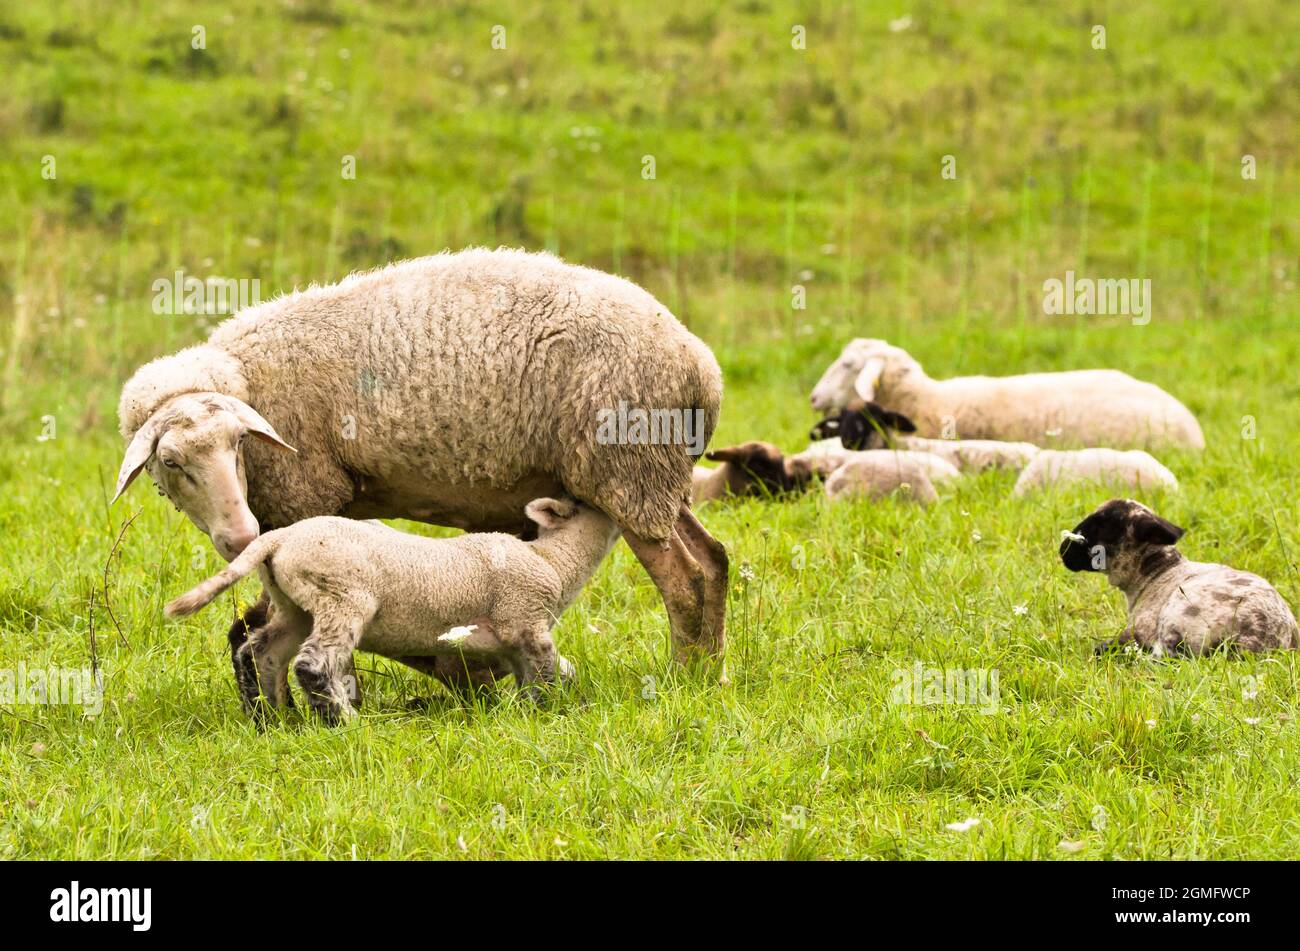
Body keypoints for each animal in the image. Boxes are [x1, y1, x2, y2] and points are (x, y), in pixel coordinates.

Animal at [114, 248, 730, 688]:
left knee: (686, 579)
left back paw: (682, 678)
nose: (239, 533)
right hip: (660, 478)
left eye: (239, 443)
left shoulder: (306, 497)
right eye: (170, 462)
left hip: (628, 471)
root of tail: (703, 368)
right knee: (715, 560)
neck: (245, 376)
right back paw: (712, 671)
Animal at [166, 498, 621, 723]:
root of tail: (279, 539)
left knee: (260, 652)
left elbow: (550, 673)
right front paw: (556, 715)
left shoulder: (513, 642)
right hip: (342, 596)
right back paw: (346, 722)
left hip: (293, 605)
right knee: (312, 664)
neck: (555, 560)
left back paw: (269, 718)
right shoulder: (525, 622)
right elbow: (550, 673)